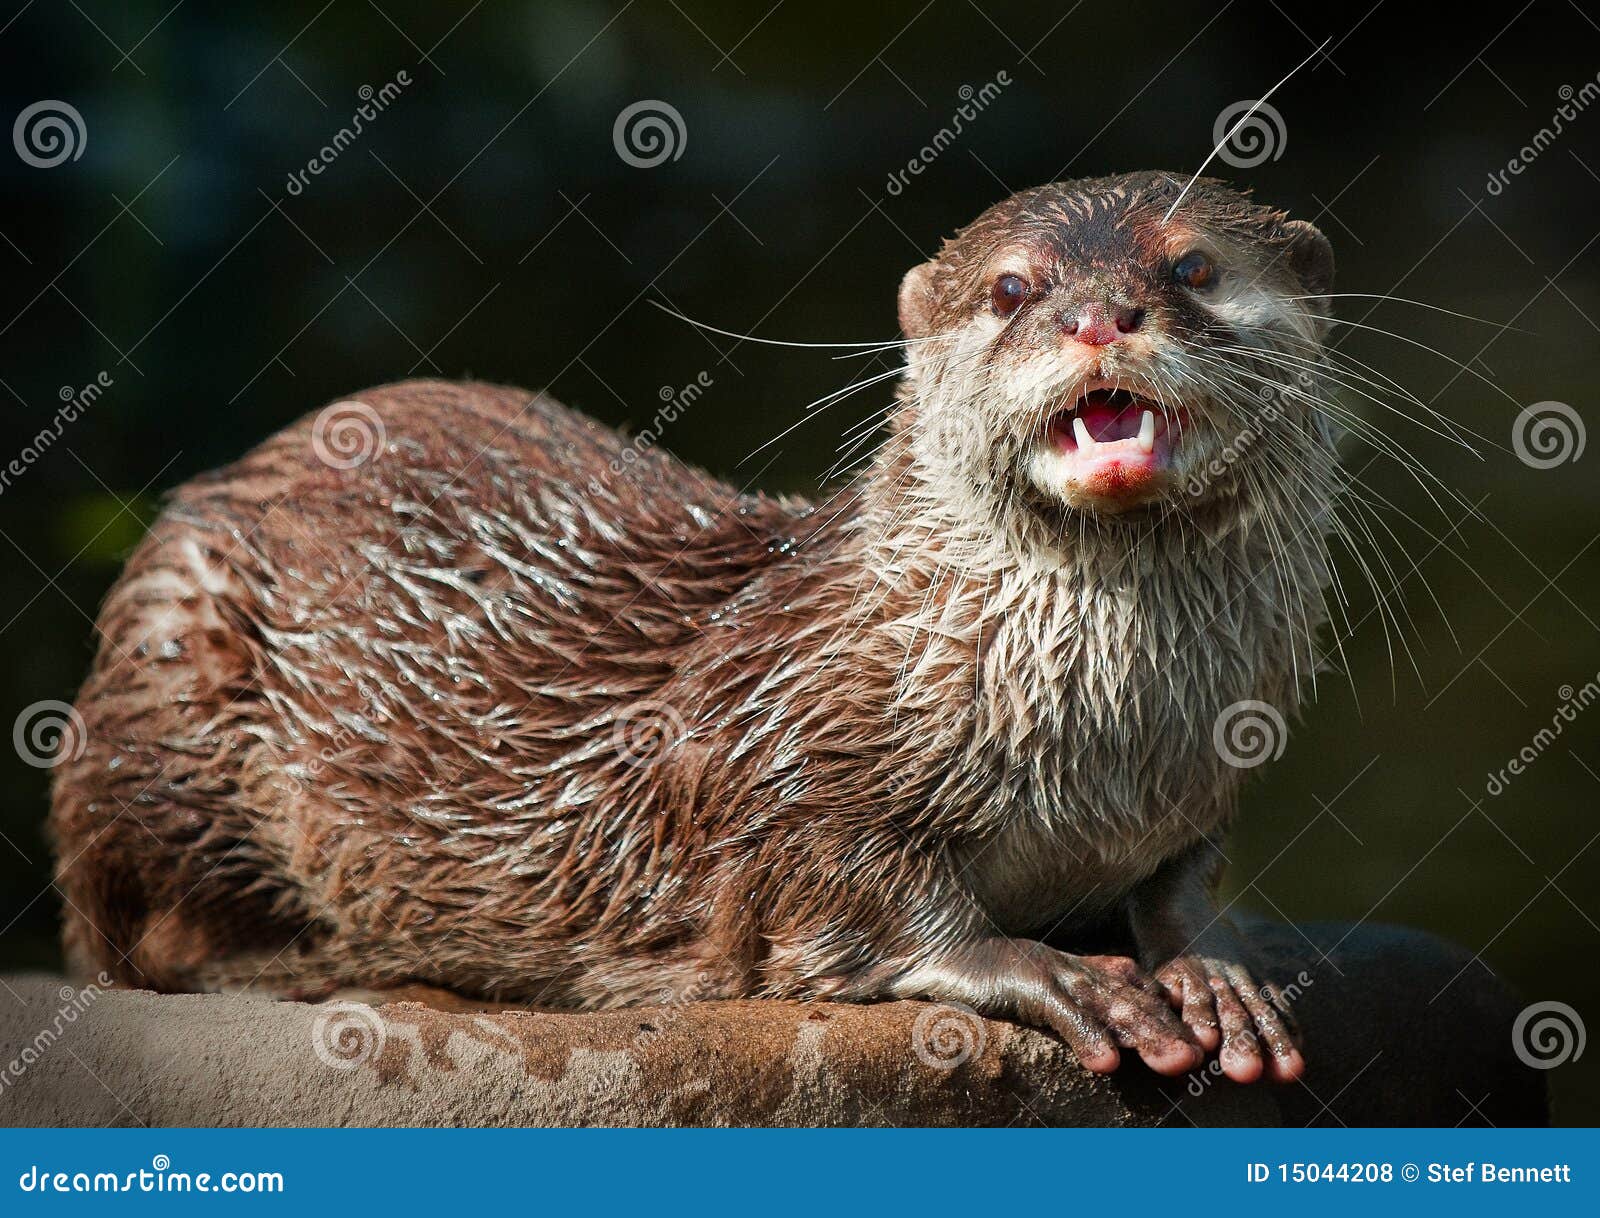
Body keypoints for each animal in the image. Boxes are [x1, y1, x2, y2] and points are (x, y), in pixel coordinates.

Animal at [52, 172, 1341, 1084]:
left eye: (1193, 266)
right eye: (1014, 289)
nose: (1099, 316)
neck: (1105, 748)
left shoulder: (1203, 781)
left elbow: (1184, 876)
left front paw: (1210, 966)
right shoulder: (784, 778)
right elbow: (859, 897)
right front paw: (1056, 972)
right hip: (169, 671)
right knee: (129, 934)